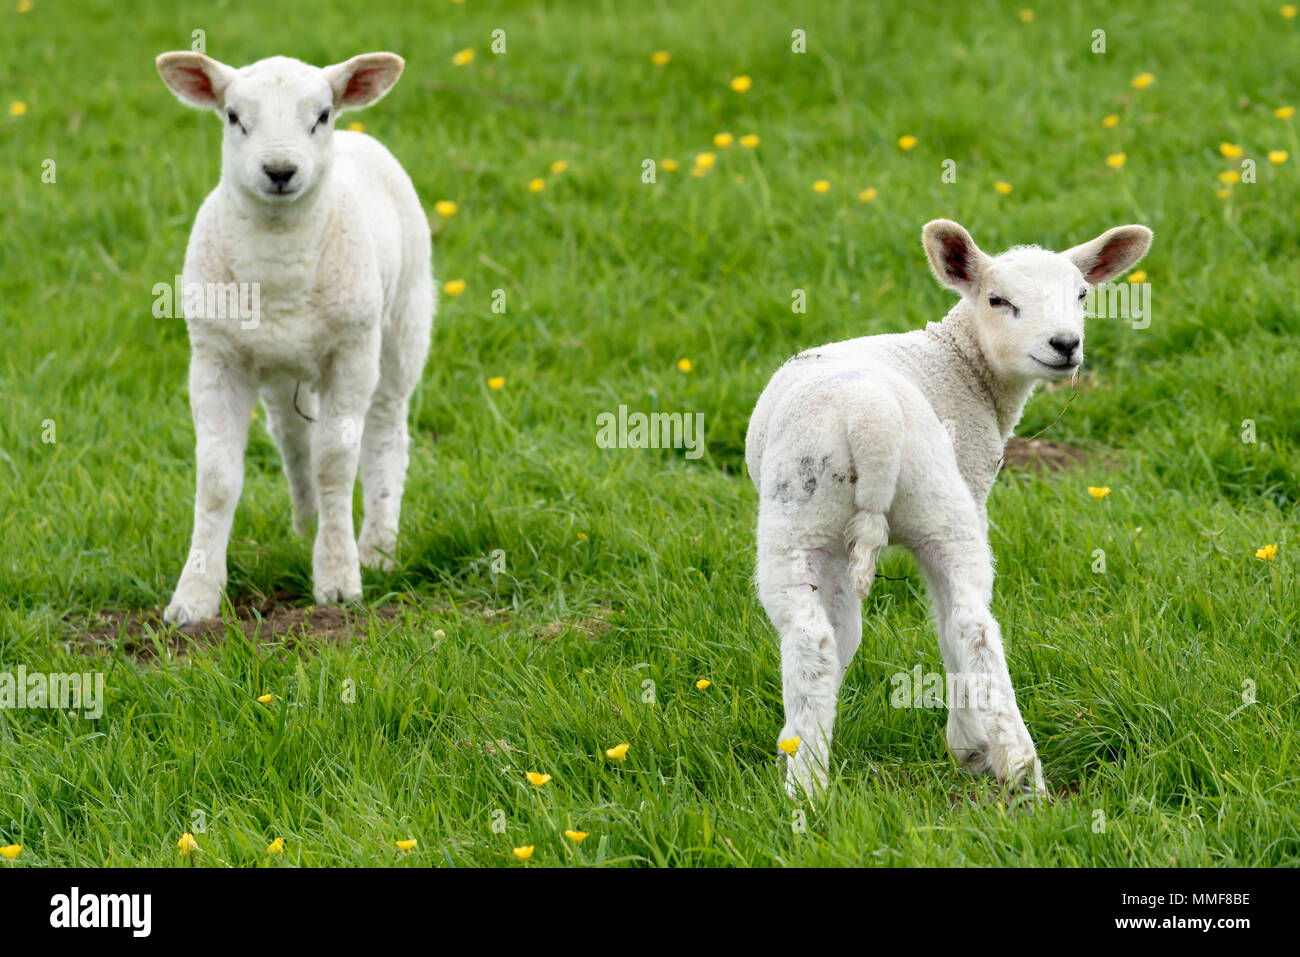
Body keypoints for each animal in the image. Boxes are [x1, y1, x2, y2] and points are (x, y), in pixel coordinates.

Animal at [155, 51, 434, 626]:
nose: (280, 170)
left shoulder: (351, 353)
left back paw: (378, 547)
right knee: (292, 440)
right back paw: (307, 526)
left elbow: (336, 462)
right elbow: (216, 478)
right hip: (281, 370)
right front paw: (194, 597)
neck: (278, 266)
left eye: (321, 114)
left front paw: (339, 579)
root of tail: (358, 138)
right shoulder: (214, 357)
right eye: (233, 115)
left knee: (385, 435)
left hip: (400, 327)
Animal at [745, 219, 1152, 798]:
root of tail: (871, 419)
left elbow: (849, 633)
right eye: (998, 300)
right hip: (884, 504)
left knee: (841, 637)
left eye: (1081, 295)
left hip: (824, 515)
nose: (1065, 344)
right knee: (961, 626)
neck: (958, 360)